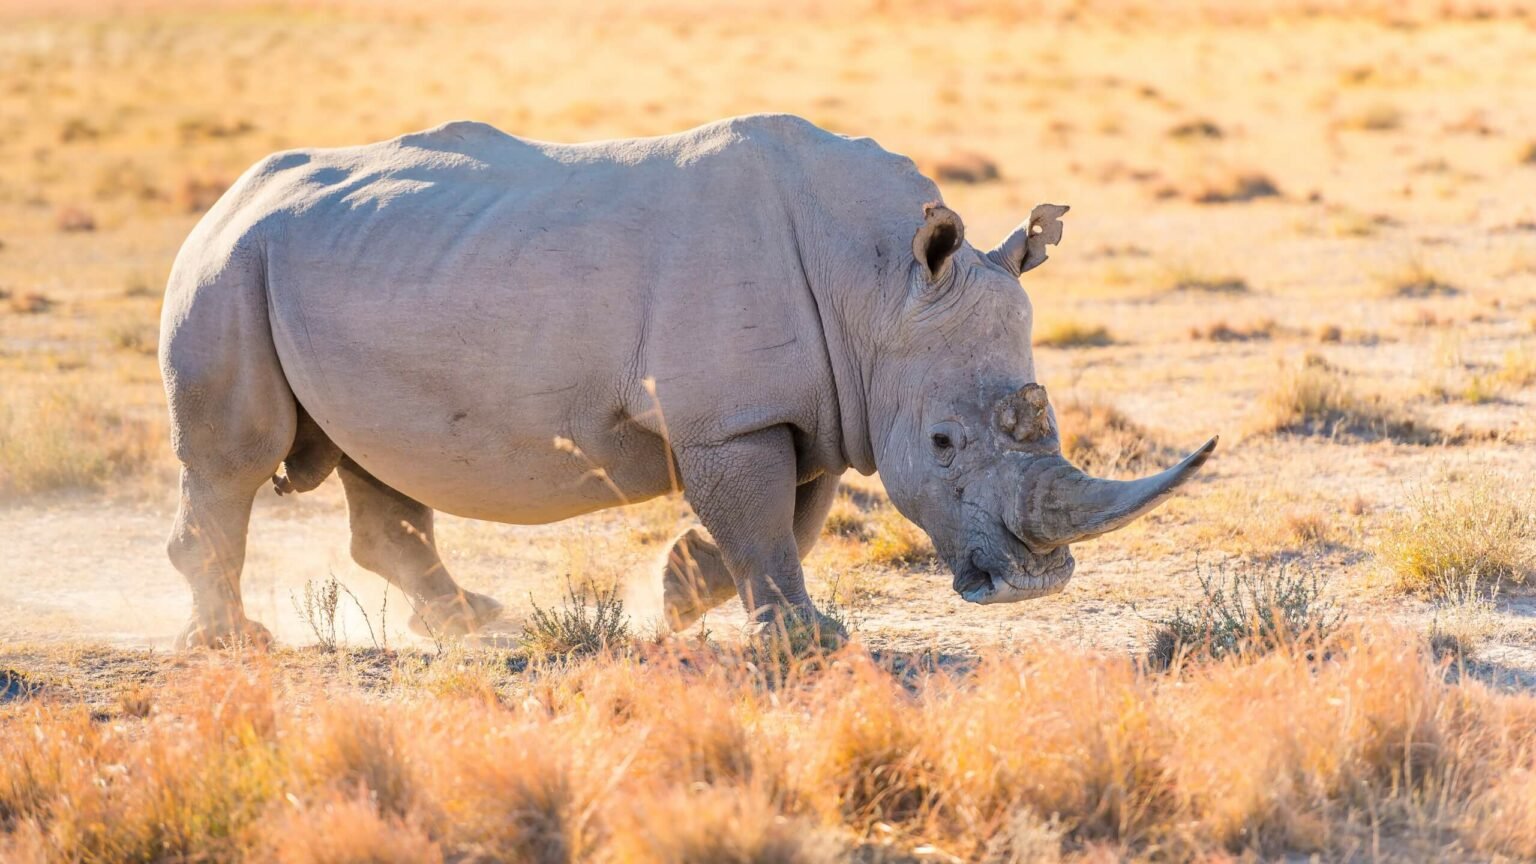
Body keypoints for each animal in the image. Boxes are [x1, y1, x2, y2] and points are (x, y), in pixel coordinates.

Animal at [159, 114, 1215, 648]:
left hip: (329, 269)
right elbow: (763, 522)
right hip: (228, 267)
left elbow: (788, 519)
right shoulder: (732, 417)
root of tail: (227, 197)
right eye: (944, 444)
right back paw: (234, 645)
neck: (880, 286)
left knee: (377, 462)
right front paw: (809, 643)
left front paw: (676, 597)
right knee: (234, 460)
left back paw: (471, 623)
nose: (1033, 588)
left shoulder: (807, 408)